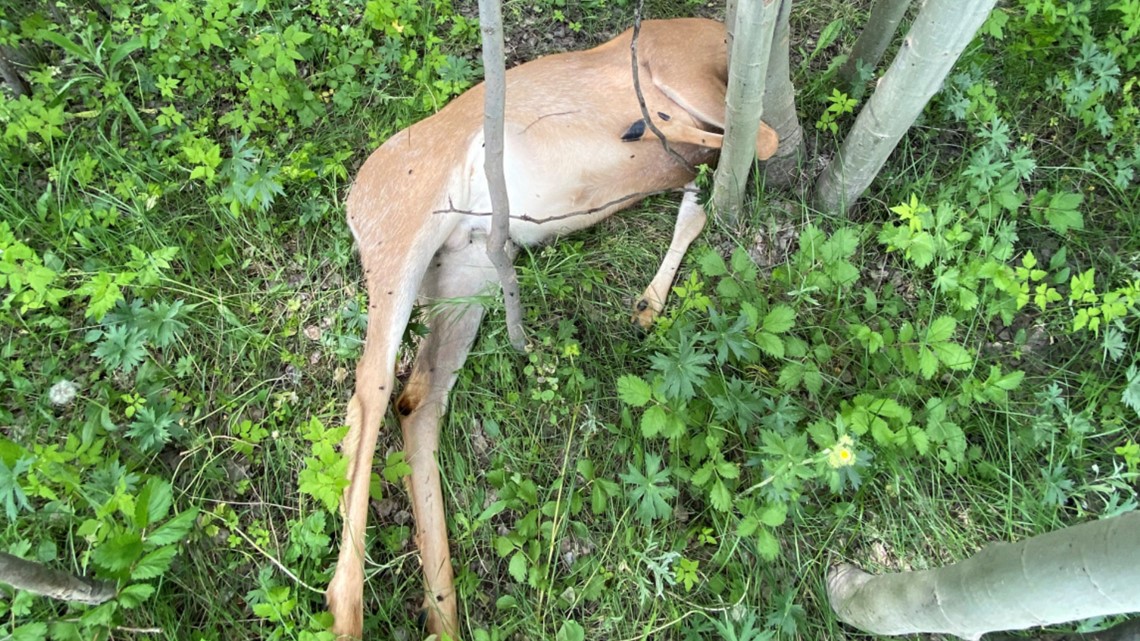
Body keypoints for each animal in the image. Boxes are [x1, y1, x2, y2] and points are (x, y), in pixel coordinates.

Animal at [325, 17, 779, 640]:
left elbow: (700, 200)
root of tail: (355, 195)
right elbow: (754, 138)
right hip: (402, 235)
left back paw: (442, 610)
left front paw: (646, 307)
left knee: (419, 399)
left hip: (468, 270)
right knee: (371, 386)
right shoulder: (680, 76)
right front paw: (650, 127)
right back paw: (346, 608)